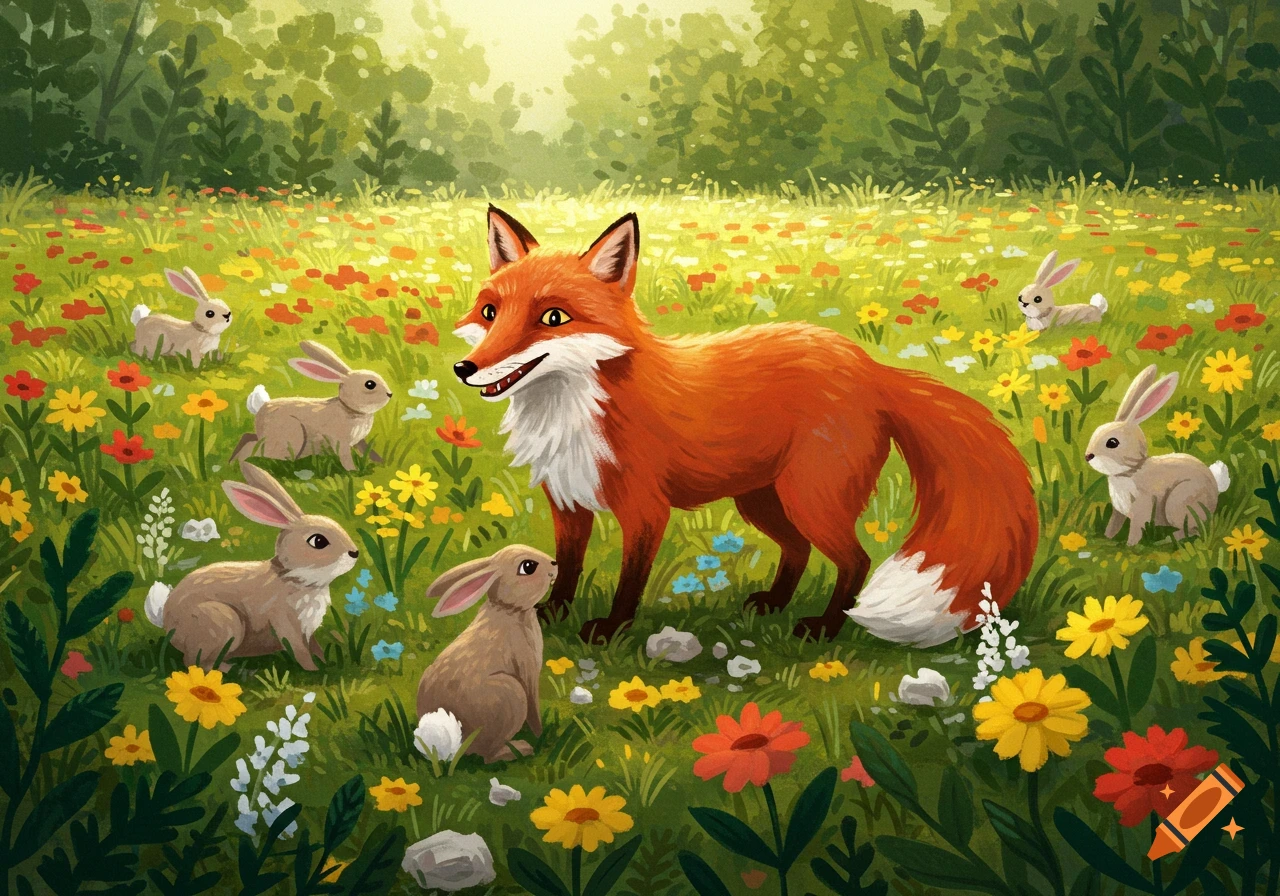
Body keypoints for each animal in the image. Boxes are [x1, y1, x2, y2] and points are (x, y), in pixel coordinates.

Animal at [144, 462, 359, 671]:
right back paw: (233, 670)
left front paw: (326, 662)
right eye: (318, 541)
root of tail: (167, 622)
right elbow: (300, 651)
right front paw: (316, 670)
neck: (293, 577)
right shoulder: (286, 622)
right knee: (194, 662)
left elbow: (314, 647)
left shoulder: (308, 631)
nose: (355, 553)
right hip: (223, 622)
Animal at [229, 340, 392, 471]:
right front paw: (353, 471)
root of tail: (262, 406)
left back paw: (231, 462)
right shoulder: (341, 441)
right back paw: (240, 464)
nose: (390, 394)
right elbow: (345, 456)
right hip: (288, 437)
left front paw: (381, 462)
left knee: (247, 437)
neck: (348, 407)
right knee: (254, 448)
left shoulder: (359, 442)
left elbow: (366, 450)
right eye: (370, 384)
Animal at [416, 545, 557, 764]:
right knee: (488, 756)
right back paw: (519, 749)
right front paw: (540, 734)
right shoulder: (527, 670)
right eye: (528, 567)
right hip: (510, 695)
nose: (554, 563)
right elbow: (534, 708)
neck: (508, 609)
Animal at [448, 205, 1038, 647]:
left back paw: (825, 627)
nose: (464, 369)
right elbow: (566, 568)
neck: (573, 409)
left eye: (553, 318)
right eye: (490, 313)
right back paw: (773, 604)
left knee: (855, 560)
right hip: (762, 501)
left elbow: (629, 580)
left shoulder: (645, 510)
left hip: (809, 497)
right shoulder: (567, 502)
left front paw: (612, 630)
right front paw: (551, 614)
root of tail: (867, 364)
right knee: (798, 551)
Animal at [1085, 365, 1230, 546]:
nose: (1088, 456)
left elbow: (1135, 529)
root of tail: (1216, 487)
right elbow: (1113, 524)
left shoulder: (1143, 505)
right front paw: (1107, 537)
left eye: (1112, 442)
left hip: (1178, 501)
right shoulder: (1118, 512)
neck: (1132, 470)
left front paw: (1129, 546)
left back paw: (1166, 540)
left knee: (1193, 530)